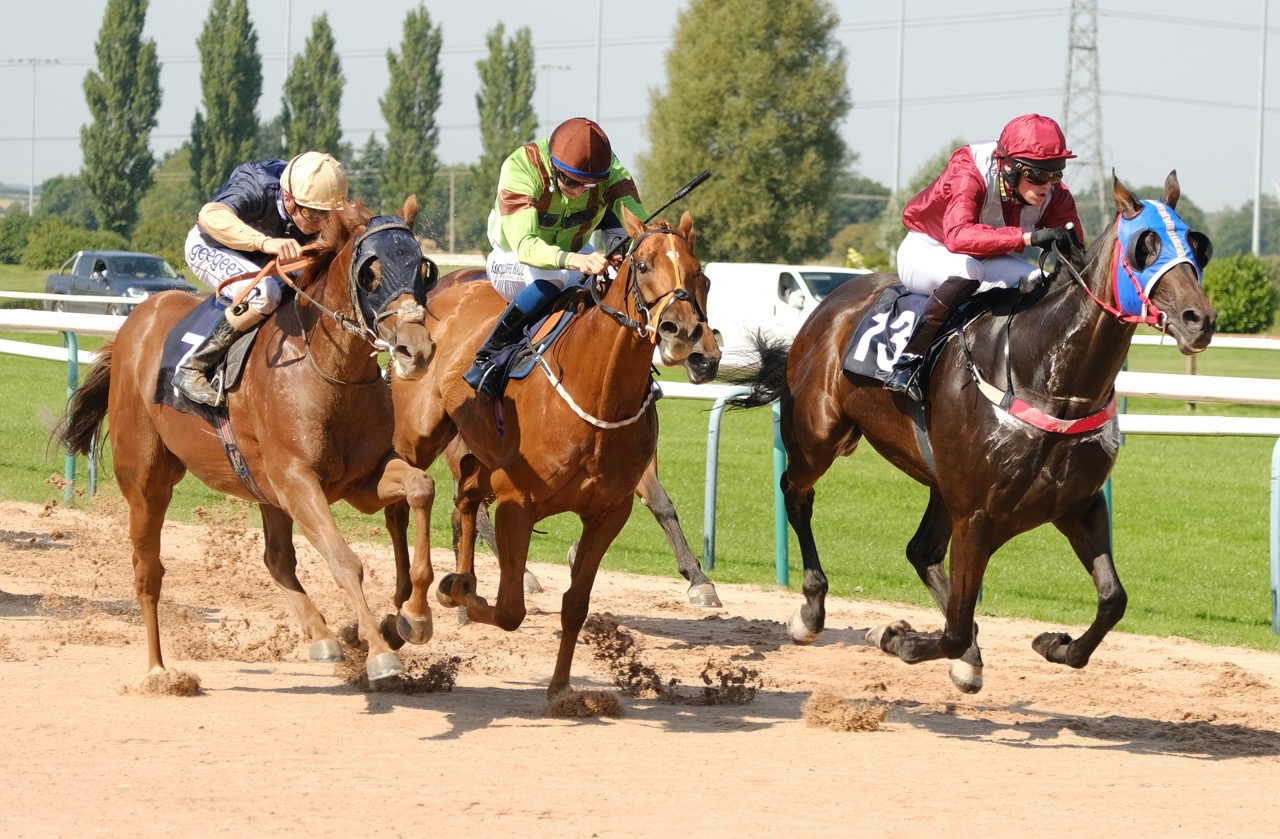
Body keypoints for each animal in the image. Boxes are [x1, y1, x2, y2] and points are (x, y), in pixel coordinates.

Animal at [56, 197, 439, 683]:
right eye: (370, 273)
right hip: (146, 481)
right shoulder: (298, 480)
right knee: (148, 571)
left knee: (276, 558)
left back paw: (322, 635)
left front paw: (414, 616)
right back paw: (160, 671)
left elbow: (421, 488)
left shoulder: (360, 480)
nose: (416, 350)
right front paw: (380, 652)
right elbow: (345, 561)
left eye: (422, 268)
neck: (329, 370)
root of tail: (131, 327)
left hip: (263, 488)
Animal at [389, 206, 721, 697]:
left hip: (474, 454)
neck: (597, 391)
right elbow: (510, 609)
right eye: (643, 266)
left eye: (701, 274)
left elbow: (576, 603)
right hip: (419, 438)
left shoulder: (609, 510)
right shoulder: (517, 501)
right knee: (403, 500)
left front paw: (561, 688)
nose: (687, 337)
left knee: (464, 500)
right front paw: (463, 591)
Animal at [726, 172, 1215, 694]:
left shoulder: (1077, 505)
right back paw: (811, 610)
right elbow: (956, 628)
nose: (1199, 319)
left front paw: (1055, 644)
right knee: (797, 494)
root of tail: (832, 302)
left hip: (941, 480)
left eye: (1197, 246)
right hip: (819, 437)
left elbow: (1112, 600)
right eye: (1146, 245)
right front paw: (894, 637)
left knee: (921, 551)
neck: (1045, 376)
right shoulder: (977, 517)